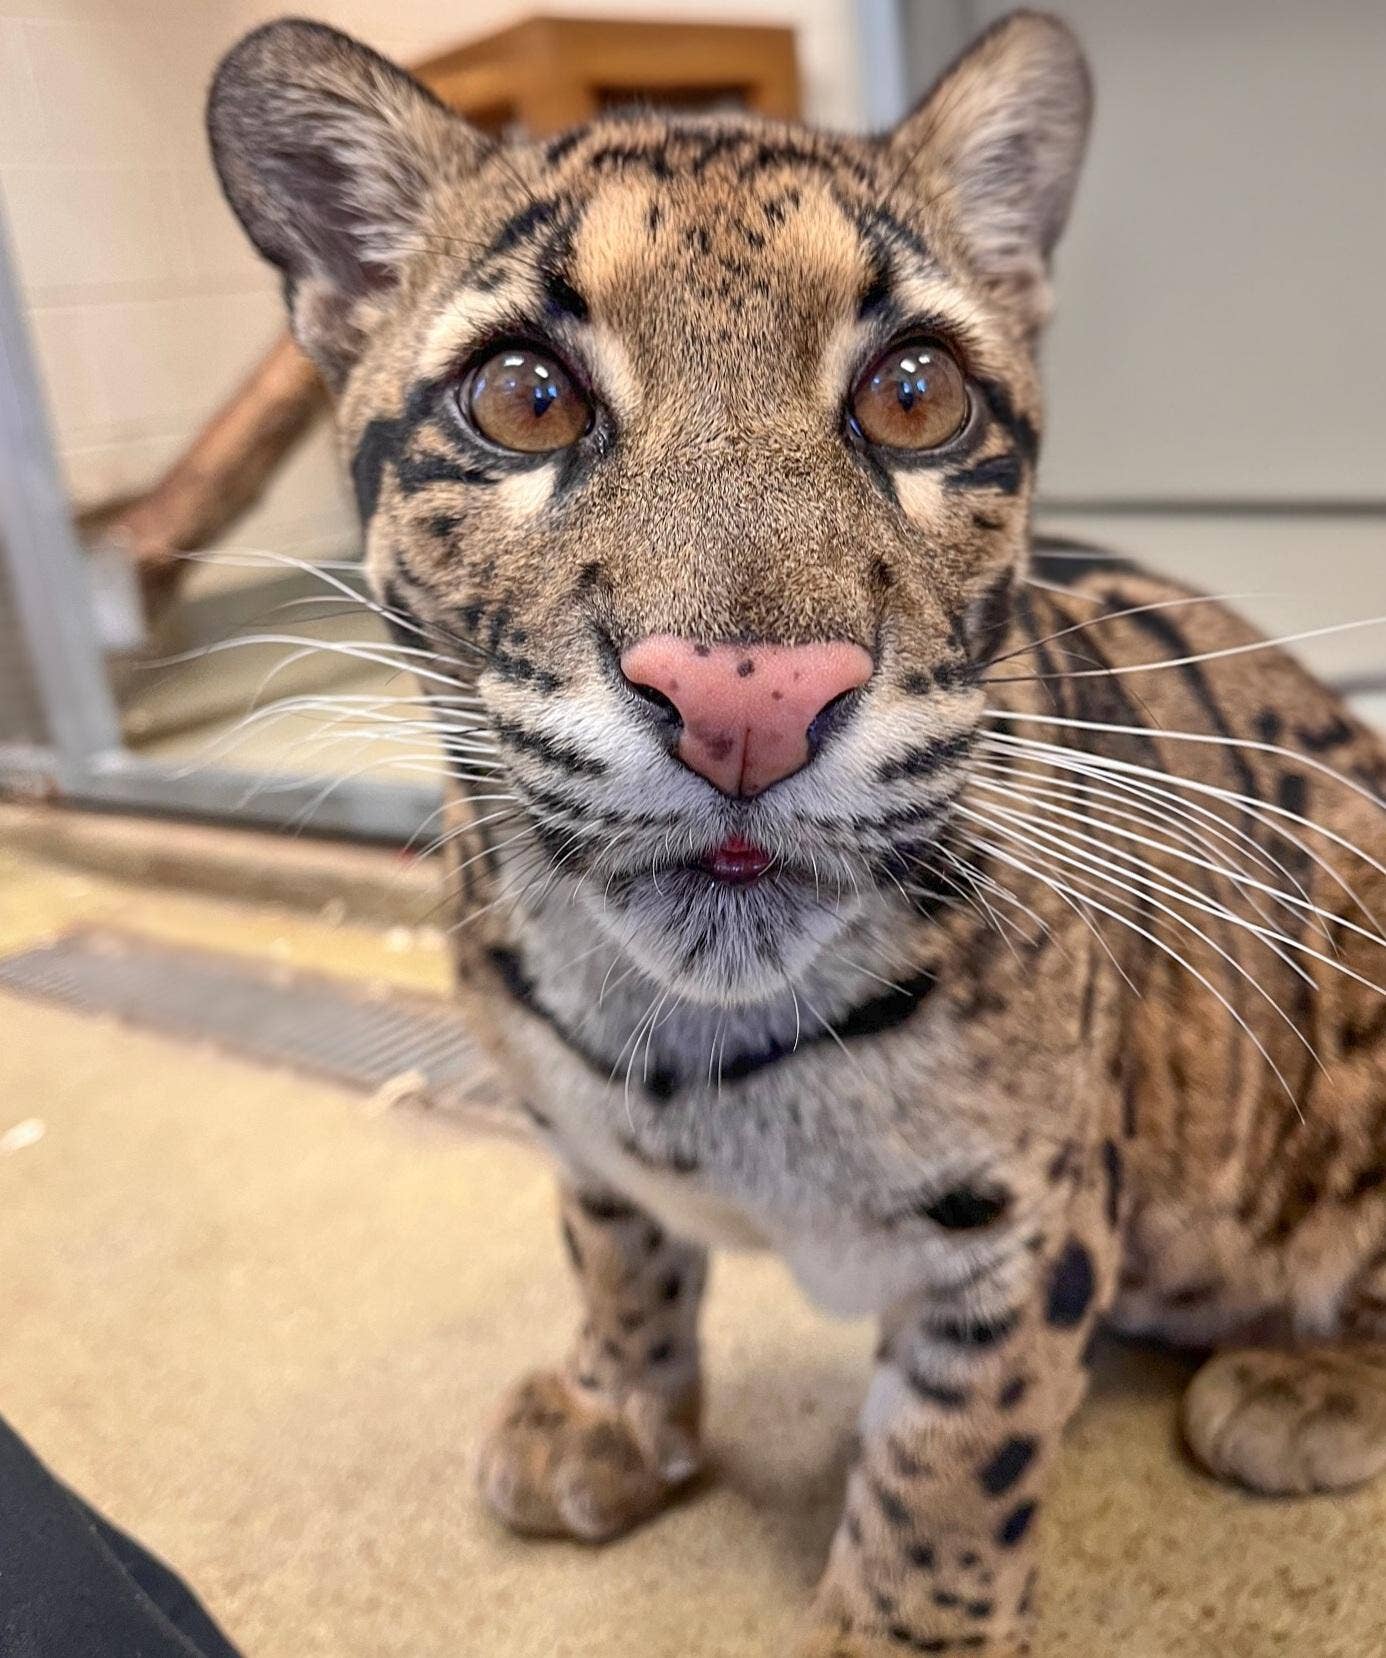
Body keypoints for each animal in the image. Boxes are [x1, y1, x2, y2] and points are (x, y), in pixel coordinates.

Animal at [208, 13, 1386, 1654]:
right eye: (523, 396)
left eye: (915, 394)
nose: (747, 700)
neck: (683, 1046)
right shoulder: (580, 1140)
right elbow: (617, 1255)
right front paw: (615, 1410)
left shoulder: (1023, 1220)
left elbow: (956, 1447)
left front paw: (906, 1628)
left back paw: (1300, 1382)